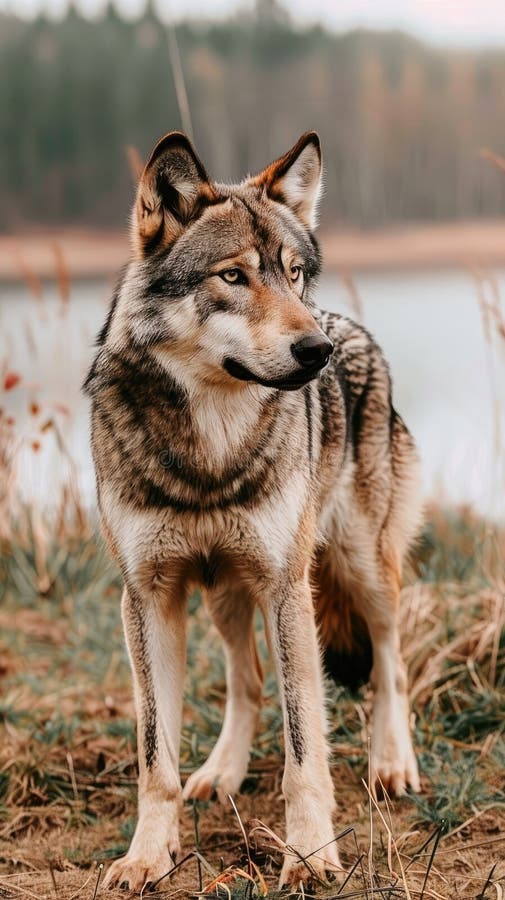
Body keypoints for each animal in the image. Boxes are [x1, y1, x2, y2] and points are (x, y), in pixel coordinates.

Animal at [84, 130, 422, 891]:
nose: (314, 351)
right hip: (226, 593)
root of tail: (350, 326)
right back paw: (221, 772)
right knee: (248, 681)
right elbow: (155, 756)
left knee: (388, 660)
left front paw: (312, 856)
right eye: (233, 277)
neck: (211, 452)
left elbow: (304, 748)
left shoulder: (285, 586)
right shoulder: (147, 596)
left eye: (293, 274)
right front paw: (145, 857)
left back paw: (392, 764)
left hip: (356, 568)